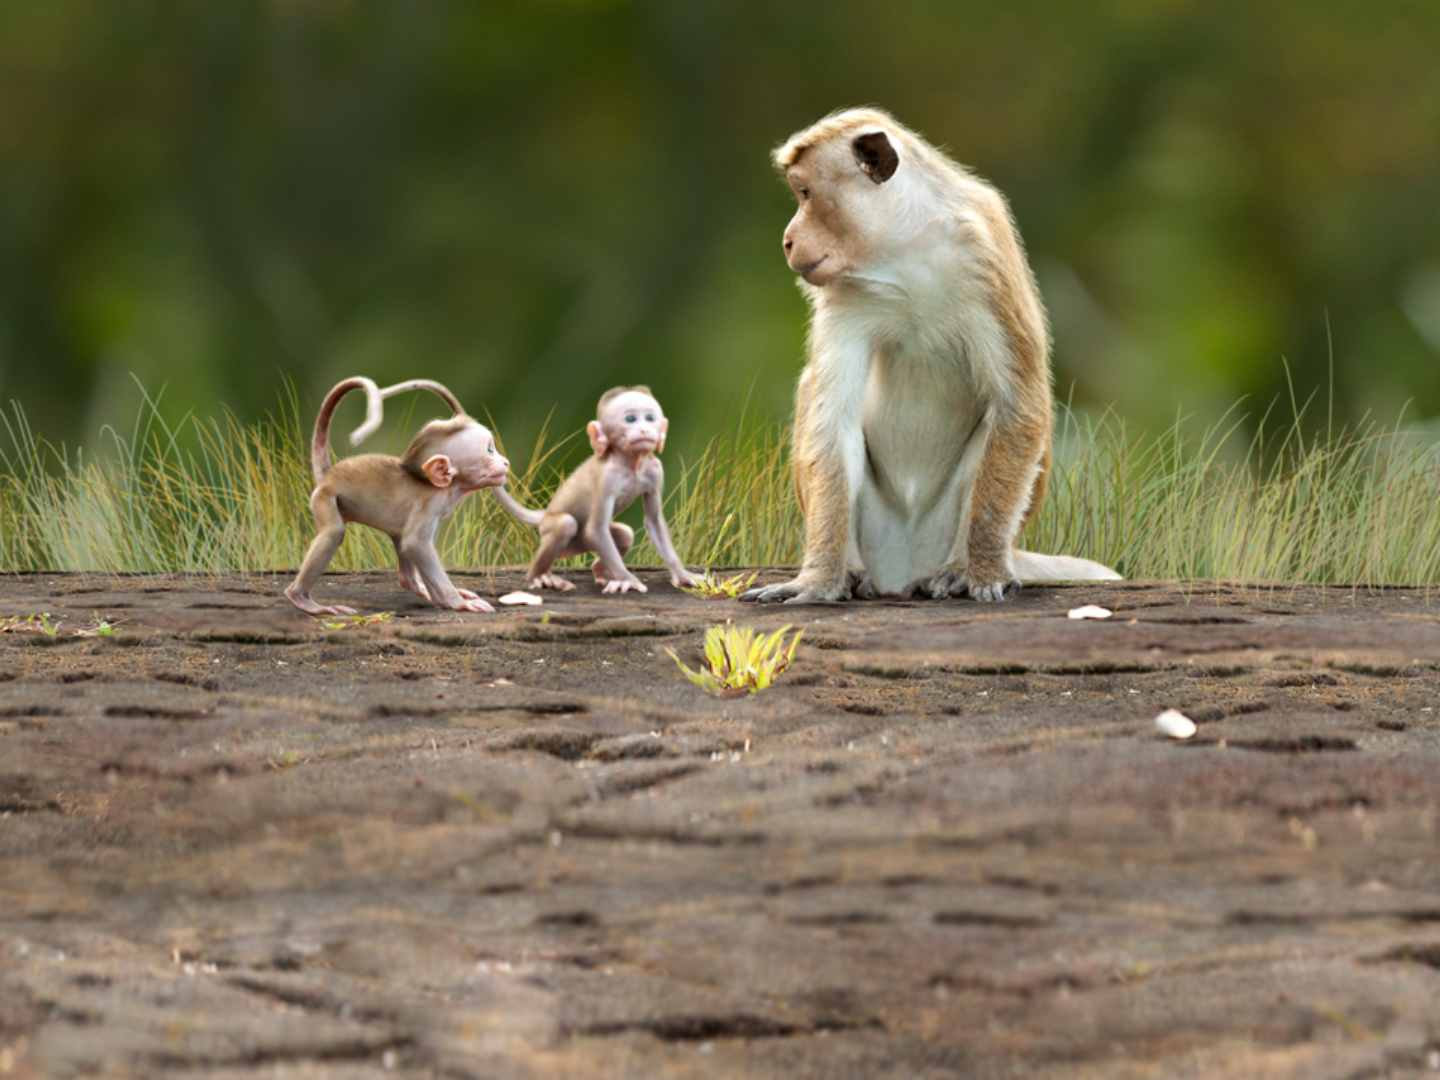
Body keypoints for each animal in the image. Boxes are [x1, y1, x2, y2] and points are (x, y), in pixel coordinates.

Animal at [284, 377, 510, 617]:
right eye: (489, 450)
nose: (505, 462)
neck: (443, 486)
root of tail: (330, 475)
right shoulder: (430, 503)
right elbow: (416, 544)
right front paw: (457, 602)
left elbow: (414, 544)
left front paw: (441, 600)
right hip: (325, 498)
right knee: (334, 533)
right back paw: (302, 599)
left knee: (400, 544)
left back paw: (416, 586)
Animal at [491, 386, 700, 594]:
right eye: (630, 419)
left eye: (650, 417)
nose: (644, 429)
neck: (631, 463)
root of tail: (545, 513)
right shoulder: (606, 478)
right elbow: (597, 527)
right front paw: (628, 580)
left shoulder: (656, 471)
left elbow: (654, 522)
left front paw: (683, 575)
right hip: (552, 529)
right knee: (565, 524)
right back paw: (539, 577)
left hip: (582, 543)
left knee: (625, 534)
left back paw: (599, 573)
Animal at [741, 107, 1119, 605]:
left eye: (805, 193)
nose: (787, 240)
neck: (905, 251)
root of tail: (903, 568)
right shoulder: (844, 293)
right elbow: (832, 422)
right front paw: (818, 582)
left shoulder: (983, 254)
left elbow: (1019, 406)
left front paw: (985, 571)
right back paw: (852, 570)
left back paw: (959, 567)